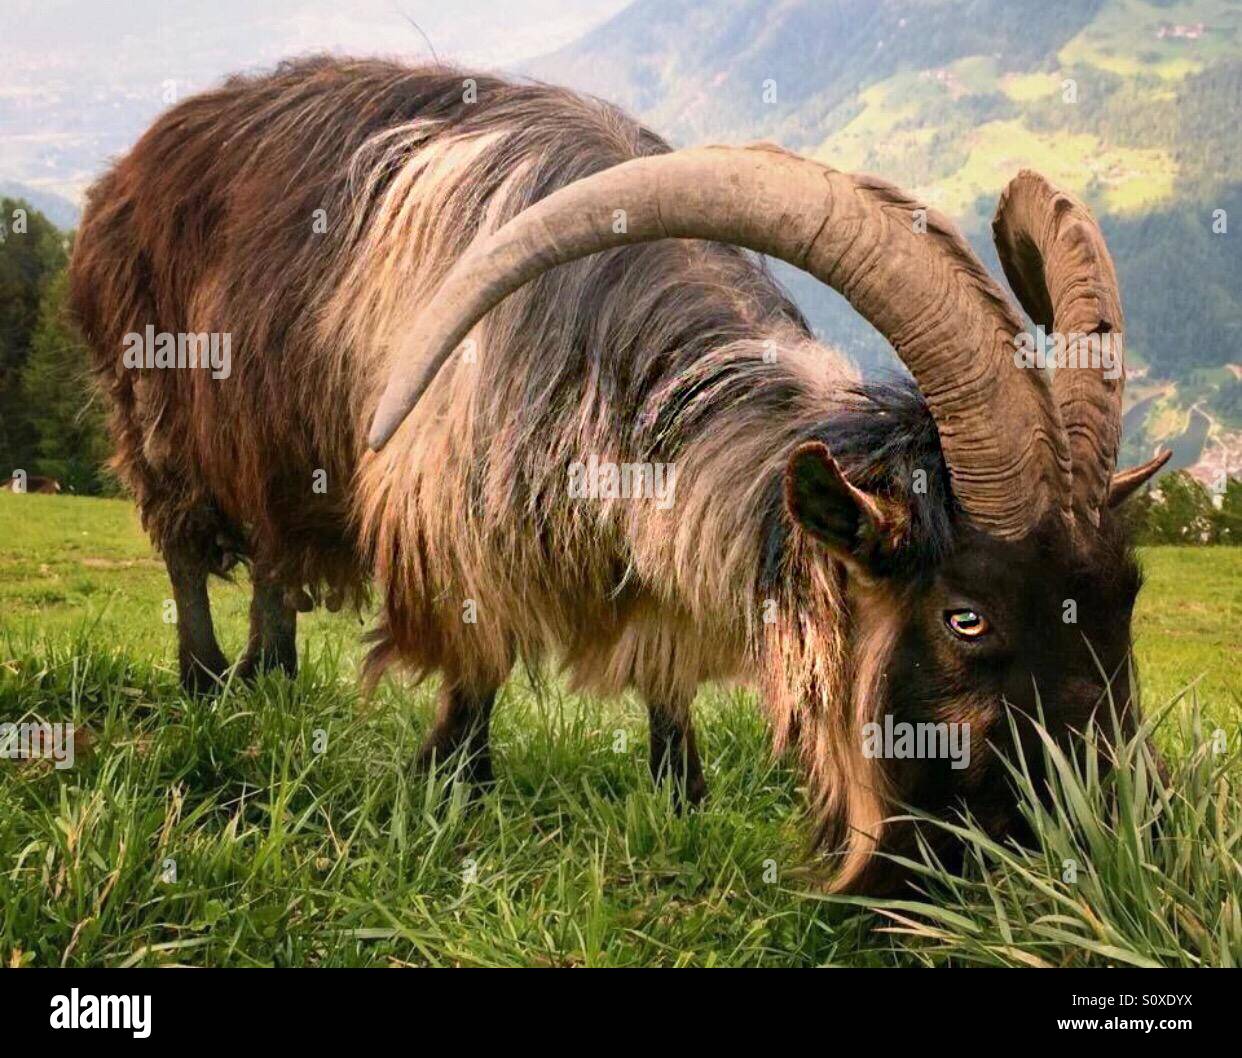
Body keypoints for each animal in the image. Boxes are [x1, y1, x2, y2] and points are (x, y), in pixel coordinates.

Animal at [69, 58, 1168, 893]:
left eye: (1128, 593)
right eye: (965, 616)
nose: (1126, 834)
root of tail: (136, 160)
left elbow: (668, 687)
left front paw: (682, 796)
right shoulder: (452, 518)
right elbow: (475, 669)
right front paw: (449, 787)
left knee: (271, 559)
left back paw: (272, 673)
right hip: (155, 405)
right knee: (184, 546)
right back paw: (209, 679)